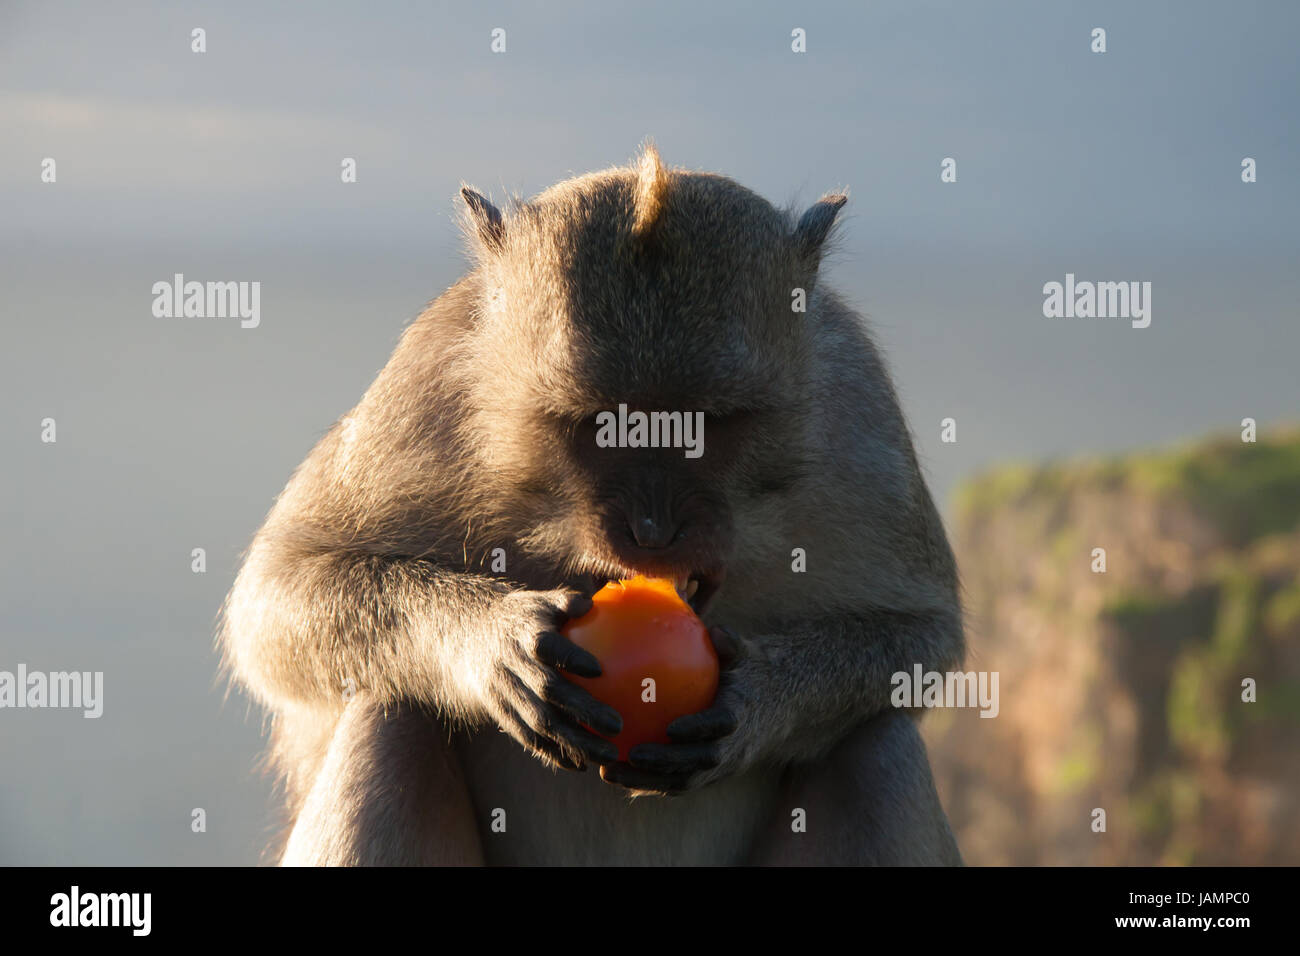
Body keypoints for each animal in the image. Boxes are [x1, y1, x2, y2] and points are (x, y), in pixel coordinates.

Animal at [220, 144, 965, 866]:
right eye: (602, 425)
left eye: (706, 425)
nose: (653, 530)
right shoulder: (425, 390)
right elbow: (278, 596)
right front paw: (491, 641)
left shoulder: (859, 420)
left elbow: (925, 640)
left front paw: (761, 696)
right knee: (391, 715)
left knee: (876, 744)